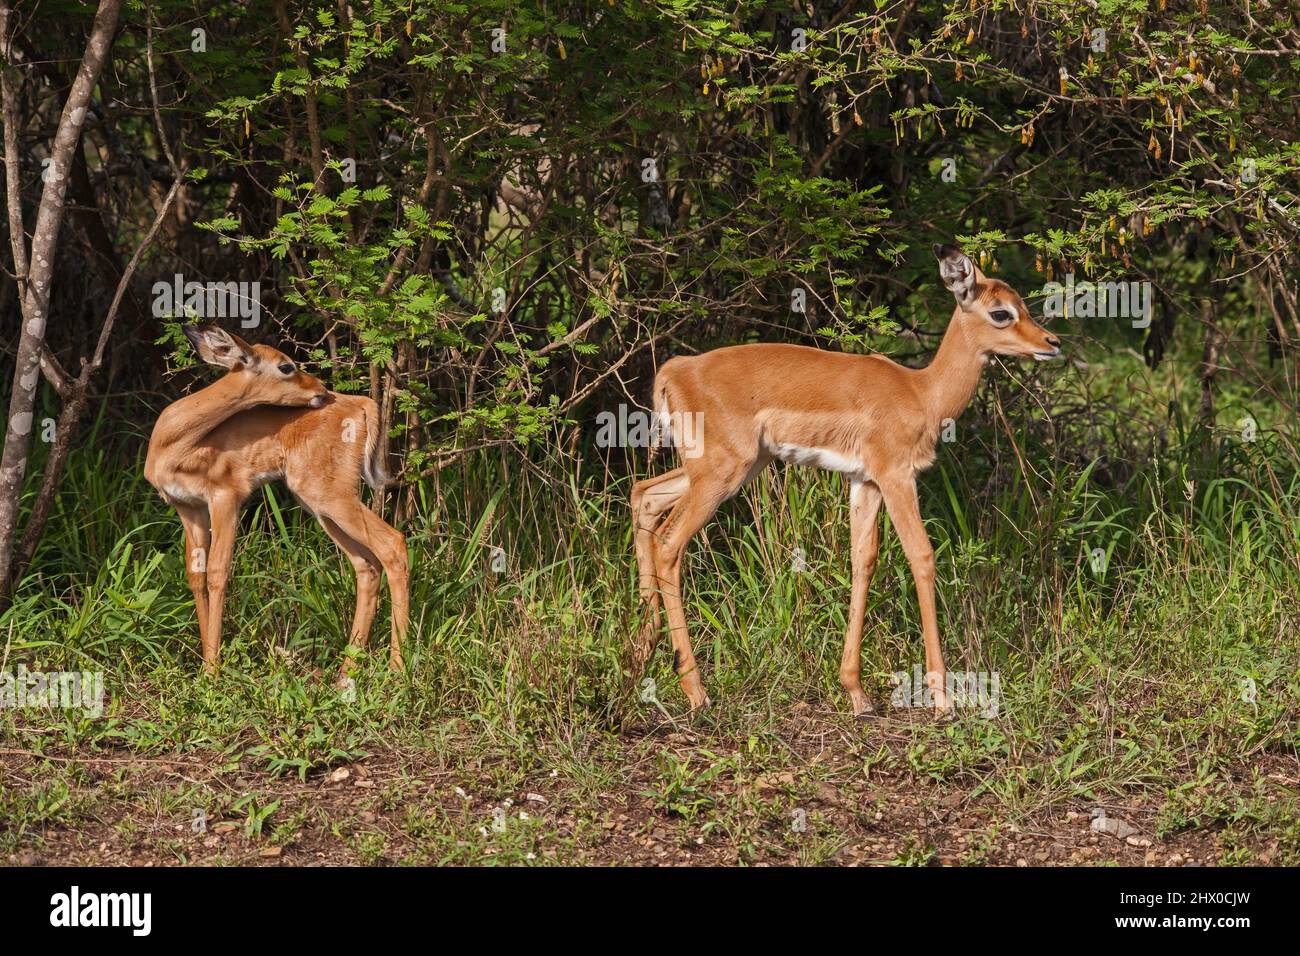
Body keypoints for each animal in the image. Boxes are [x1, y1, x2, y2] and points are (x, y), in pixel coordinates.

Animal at [144, 325, 409, 676]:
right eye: (286, 366)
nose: (320, 388)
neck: (175, 446)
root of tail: (363, 404)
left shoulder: (226, 497)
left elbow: (217, 572)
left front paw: (212, 670)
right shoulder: (189, 508)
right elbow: (195, 576)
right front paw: (205, 663)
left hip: (331, 495)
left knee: (393, 543)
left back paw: (397, 669)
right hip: (321, 506)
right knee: (366, 565)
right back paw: (345, 675)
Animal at [631, 244, 1061, 714]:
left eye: (1022, 303)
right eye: (1001, 312)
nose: (1051, 343)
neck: (922, 393)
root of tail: (675, 370)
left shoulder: (864, 482)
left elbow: (863, 560)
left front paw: (856, 692)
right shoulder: (896, 476)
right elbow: (922, 556)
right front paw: (941, 696)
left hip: (728, 467)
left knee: (644, 495)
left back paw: (644, 650)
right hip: (721, 472)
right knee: (670, 541)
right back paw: (695, 690)